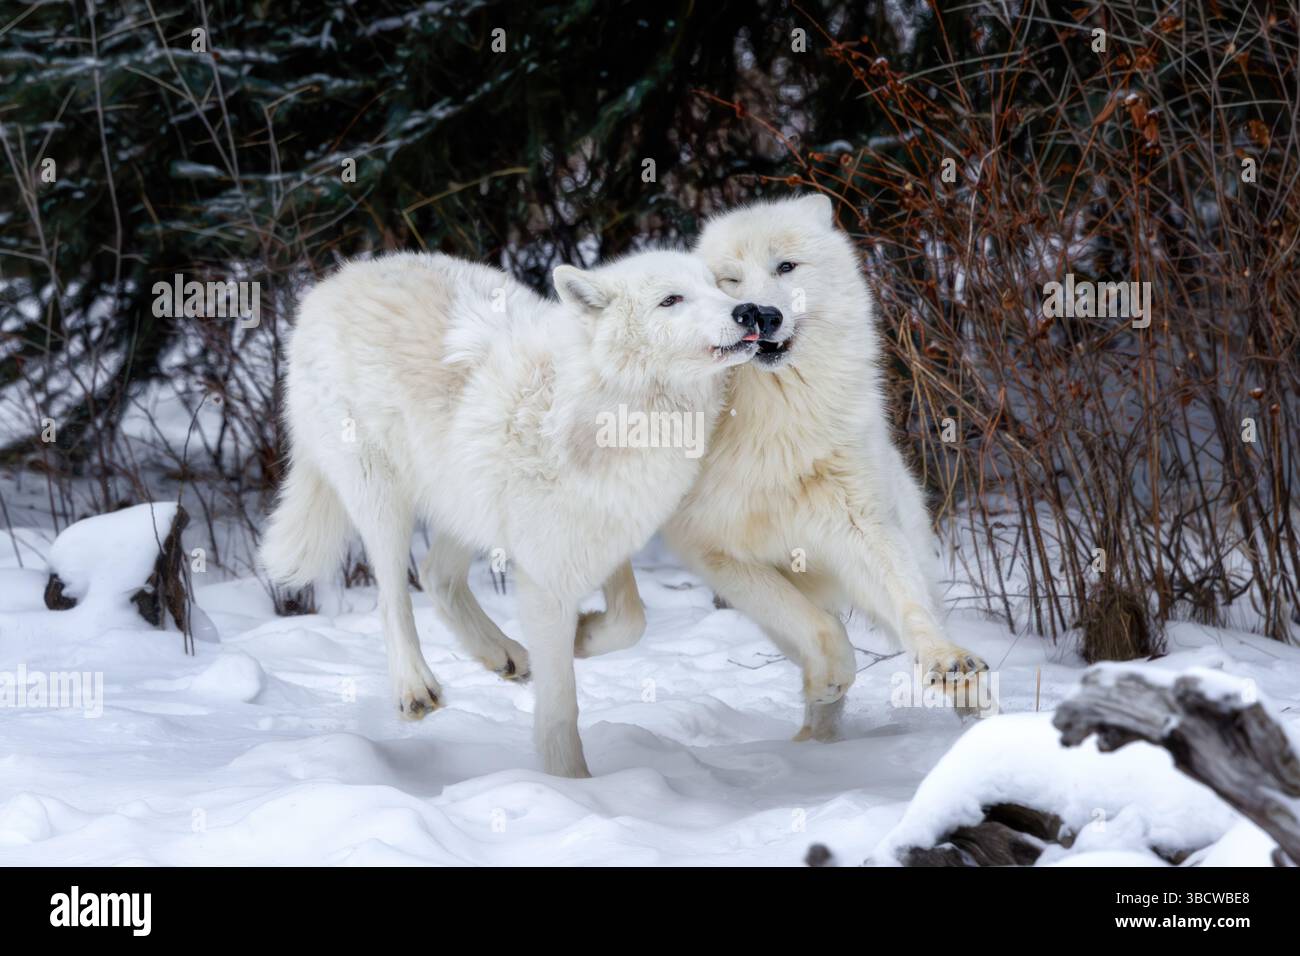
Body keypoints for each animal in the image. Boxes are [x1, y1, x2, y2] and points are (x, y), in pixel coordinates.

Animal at [260, 250, 764, 777]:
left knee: (436, 576)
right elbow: (562, 704)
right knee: (392, 596)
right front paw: (571, 781)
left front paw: (584, 636)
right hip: (382, 500)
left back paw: (503, 654)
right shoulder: (547, 575)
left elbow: (632, 619)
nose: (750, 311)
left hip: (465, 502)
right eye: (671, 299)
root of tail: (331, 283)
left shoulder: (608, 531)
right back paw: (415, 686)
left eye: (718, 286)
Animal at [578, 194, 988, 740]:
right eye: (728, 280)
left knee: (925, 609)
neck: (774, 426)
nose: (759, 312)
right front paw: (831, 673)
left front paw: (948, 663)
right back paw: (814, 736)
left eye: (785, 267)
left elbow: (909, 607)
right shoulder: (715, 554)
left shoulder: (864, 525)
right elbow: (816, 626)